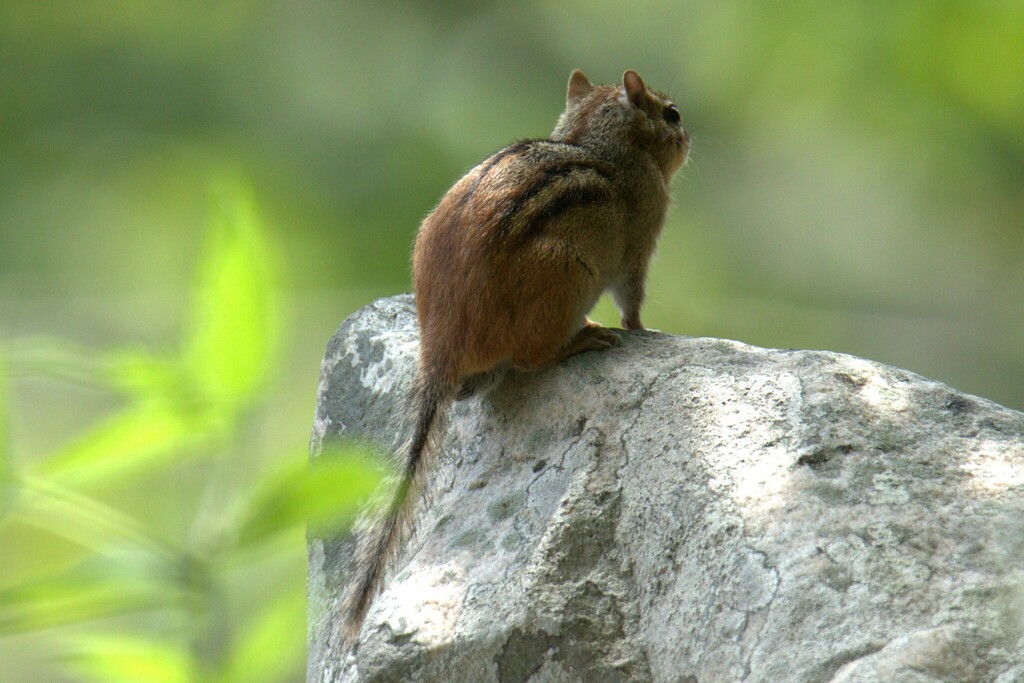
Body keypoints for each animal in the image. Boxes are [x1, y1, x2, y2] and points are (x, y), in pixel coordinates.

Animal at [341, 69, 689, 646]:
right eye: (672, 114)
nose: (689, 138)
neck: (600, 145)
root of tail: (442, 347)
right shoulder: (642, 241)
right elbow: (633, 298)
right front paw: (644, 330)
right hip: (566, 277)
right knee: (532, 359)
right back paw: (583, 339)